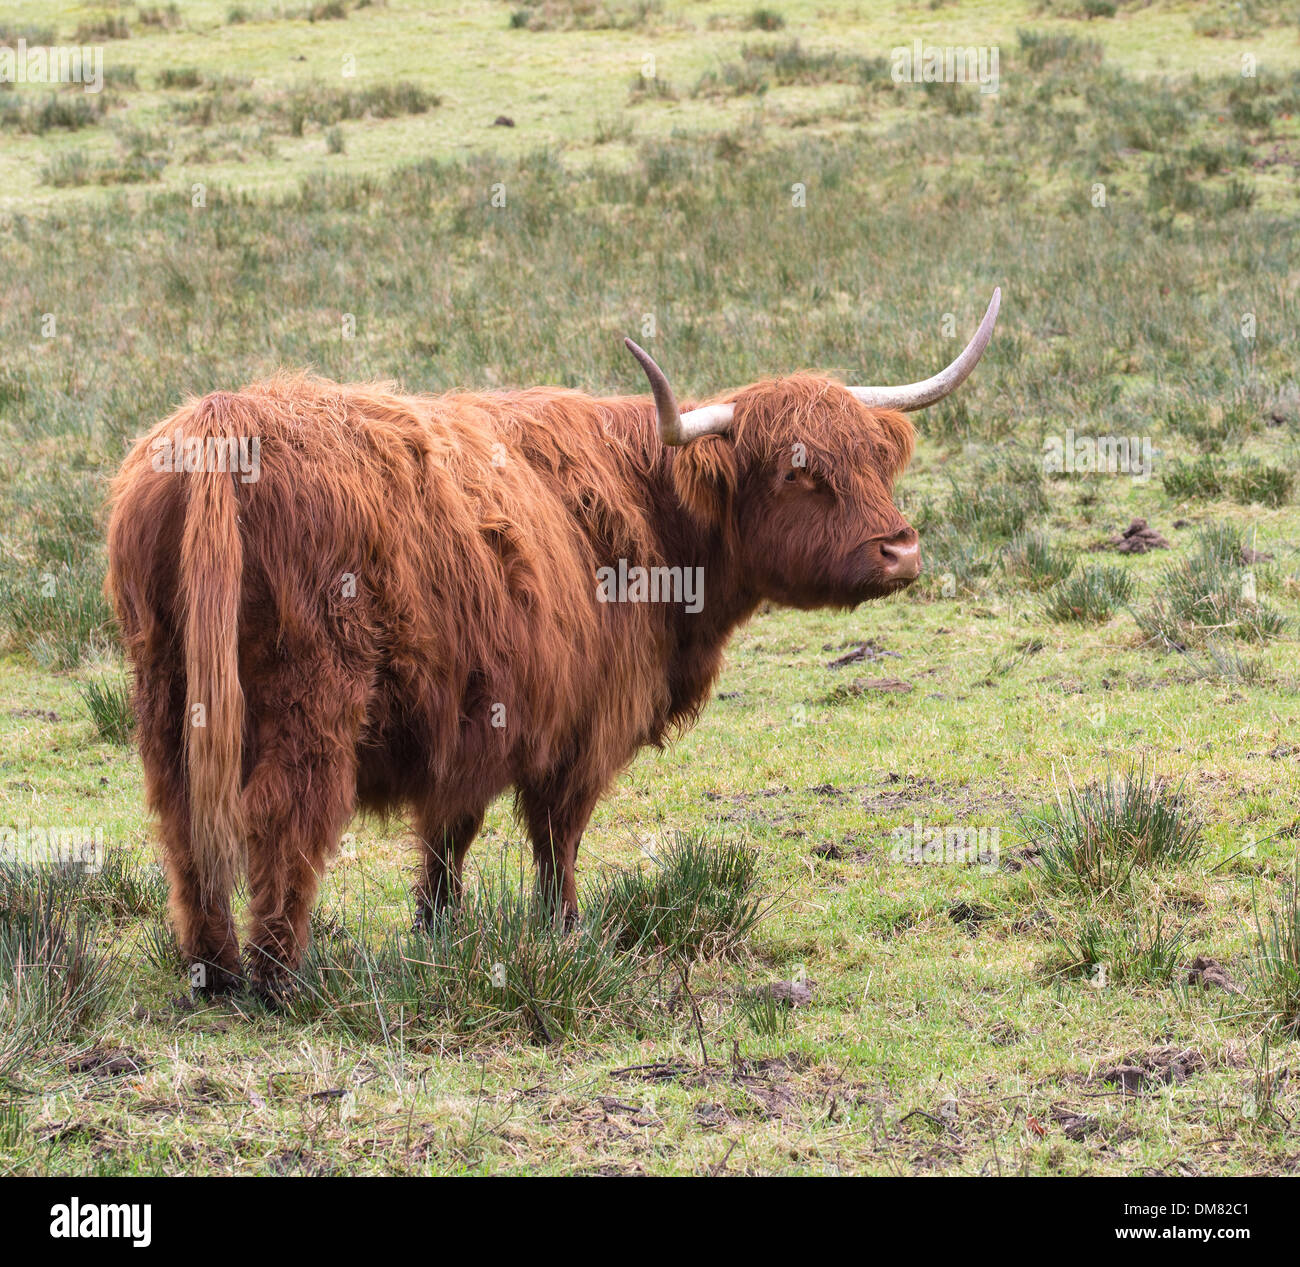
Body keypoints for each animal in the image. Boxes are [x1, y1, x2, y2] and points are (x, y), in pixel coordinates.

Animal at [106, 290, 1000, 1001]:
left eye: (876, 459)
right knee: (282, 819)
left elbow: (448, 840)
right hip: (311, 701)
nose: (901, 550)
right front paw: (565, 929)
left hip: (169, 693)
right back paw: (276, 980)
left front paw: (437, 932)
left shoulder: (473, 725)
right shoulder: (578, 724)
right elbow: (555, 835)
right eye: (797, 472)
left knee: (184, 827)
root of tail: (225, 419)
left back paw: (213, 971)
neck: (657, 515)